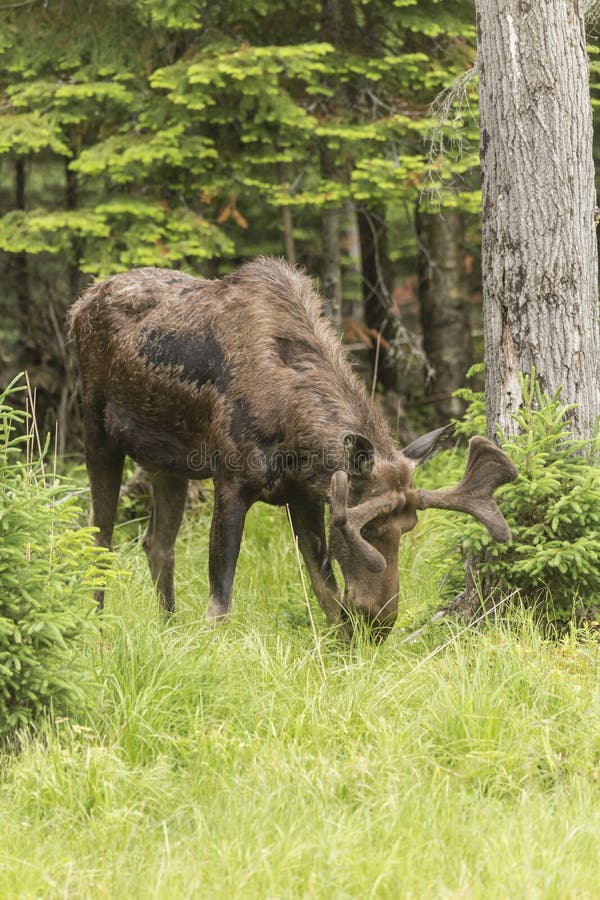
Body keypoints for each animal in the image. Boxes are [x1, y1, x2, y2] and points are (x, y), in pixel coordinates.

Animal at [68, 257, 517, 640]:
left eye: (408, 529)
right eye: (368, 530)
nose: (379, 621)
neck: (294, 433)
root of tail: (79, 304)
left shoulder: (304, 495)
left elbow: (326, 590)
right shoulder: (231, 482)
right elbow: (220, 601)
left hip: (169, 461)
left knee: (157, 544)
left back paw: (169, 629)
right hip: (96, 431)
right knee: (100, 538)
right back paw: (97, 627)